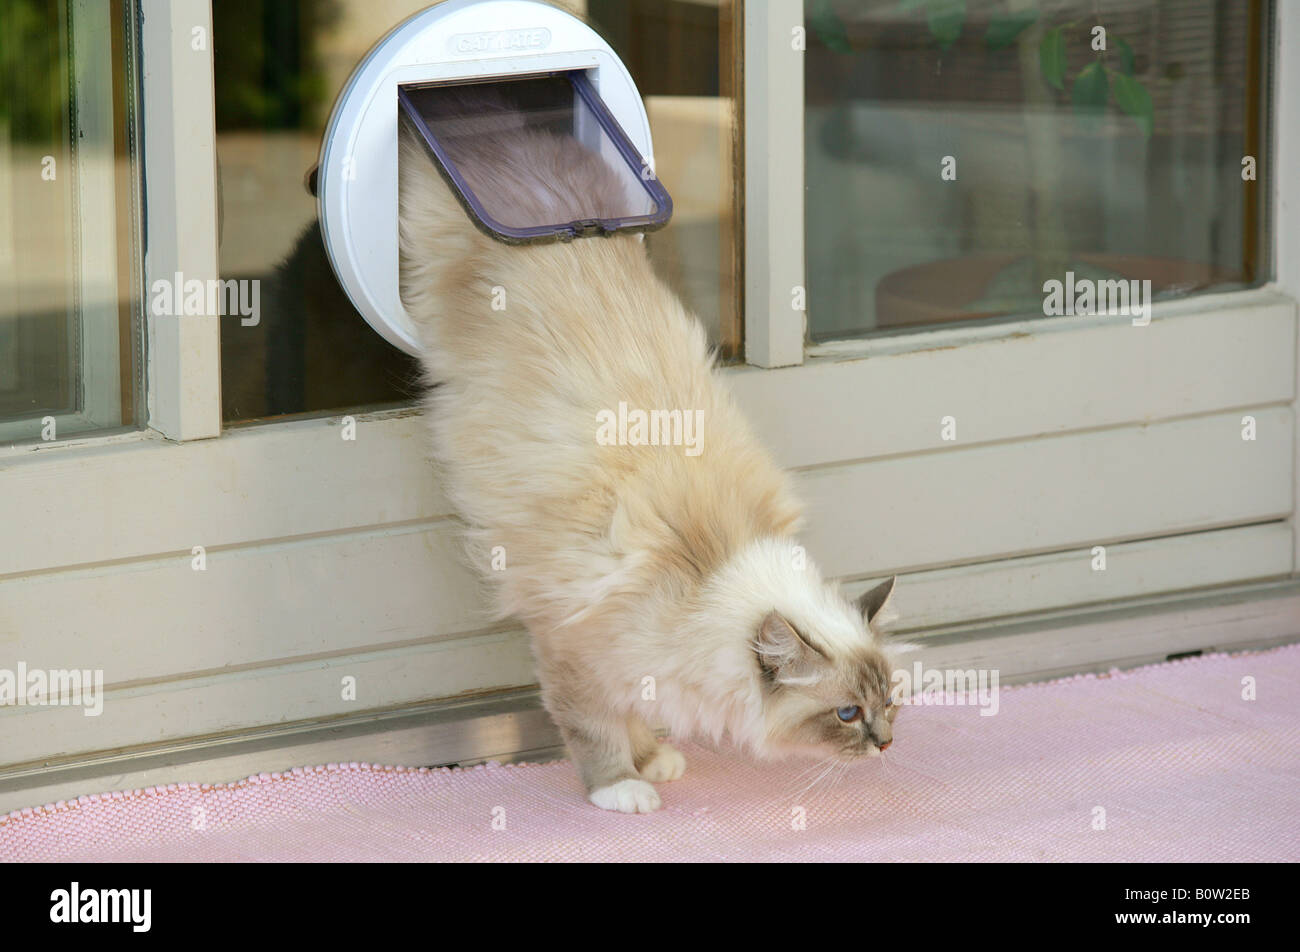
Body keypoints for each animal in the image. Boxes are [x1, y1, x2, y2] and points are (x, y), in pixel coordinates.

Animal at [395, 85, 904, 811]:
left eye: (889, 701)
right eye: (847, 714)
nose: (887, 744)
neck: (707, 576)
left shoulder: (636, 659)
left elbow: (638, 711)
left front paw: (655, 760)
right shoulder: (579, 652)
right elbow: (597, 729)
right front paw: (623, 788)